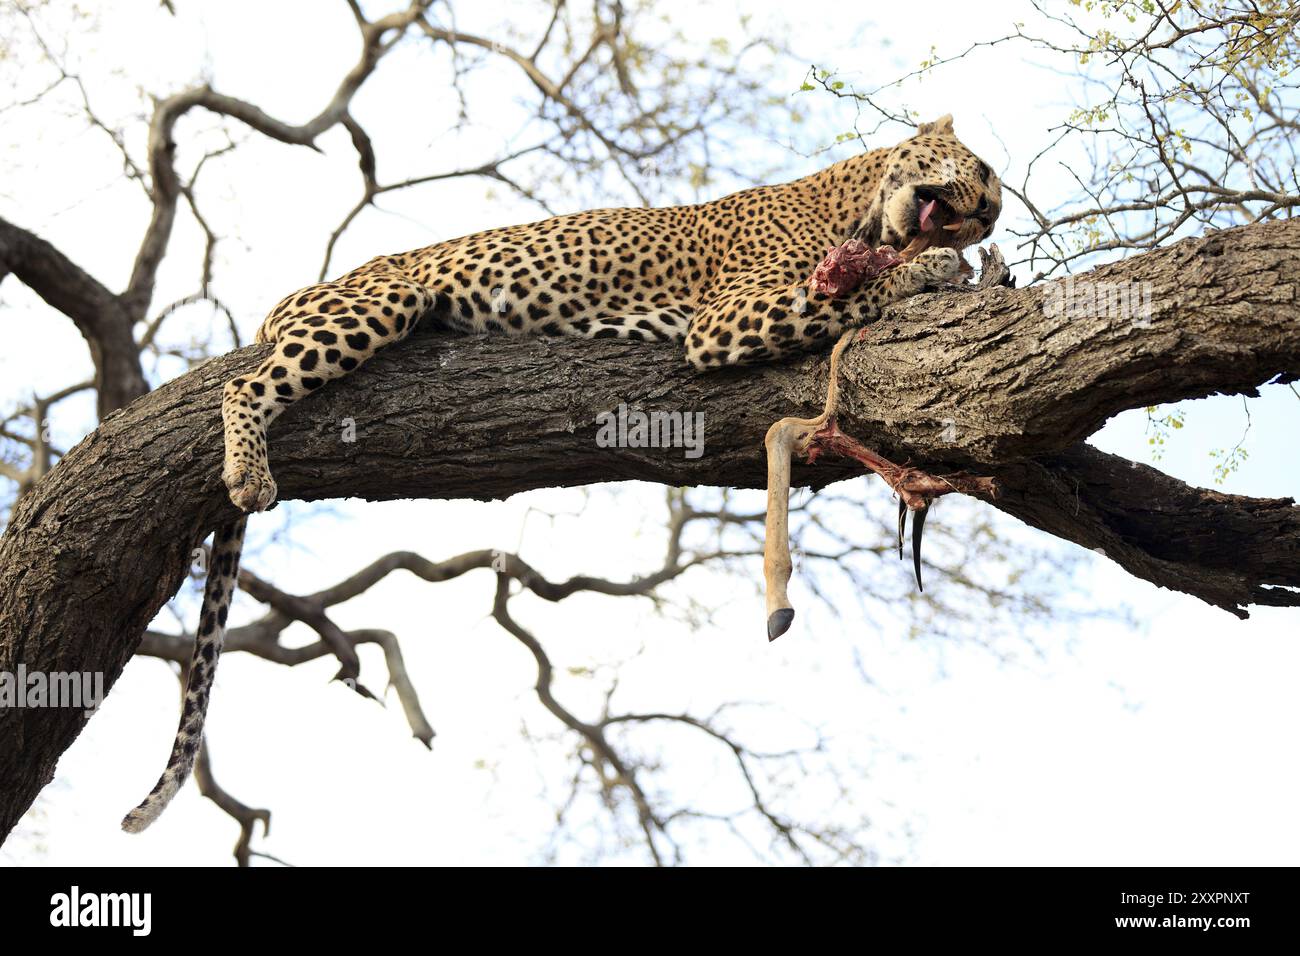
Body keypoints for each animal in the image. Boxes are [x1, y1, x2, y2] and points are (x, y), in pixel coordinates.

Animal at [121, 114, 1001, 832]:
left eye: (991, 199)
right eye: (985, 172)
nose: (989, 216)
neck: (856, 201)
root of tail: (290, 297)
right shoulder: (728, 317)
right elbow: (861, 288)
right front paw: (931, 272)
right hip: (379, 302)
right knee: (243, 385)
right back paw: (247, 473)